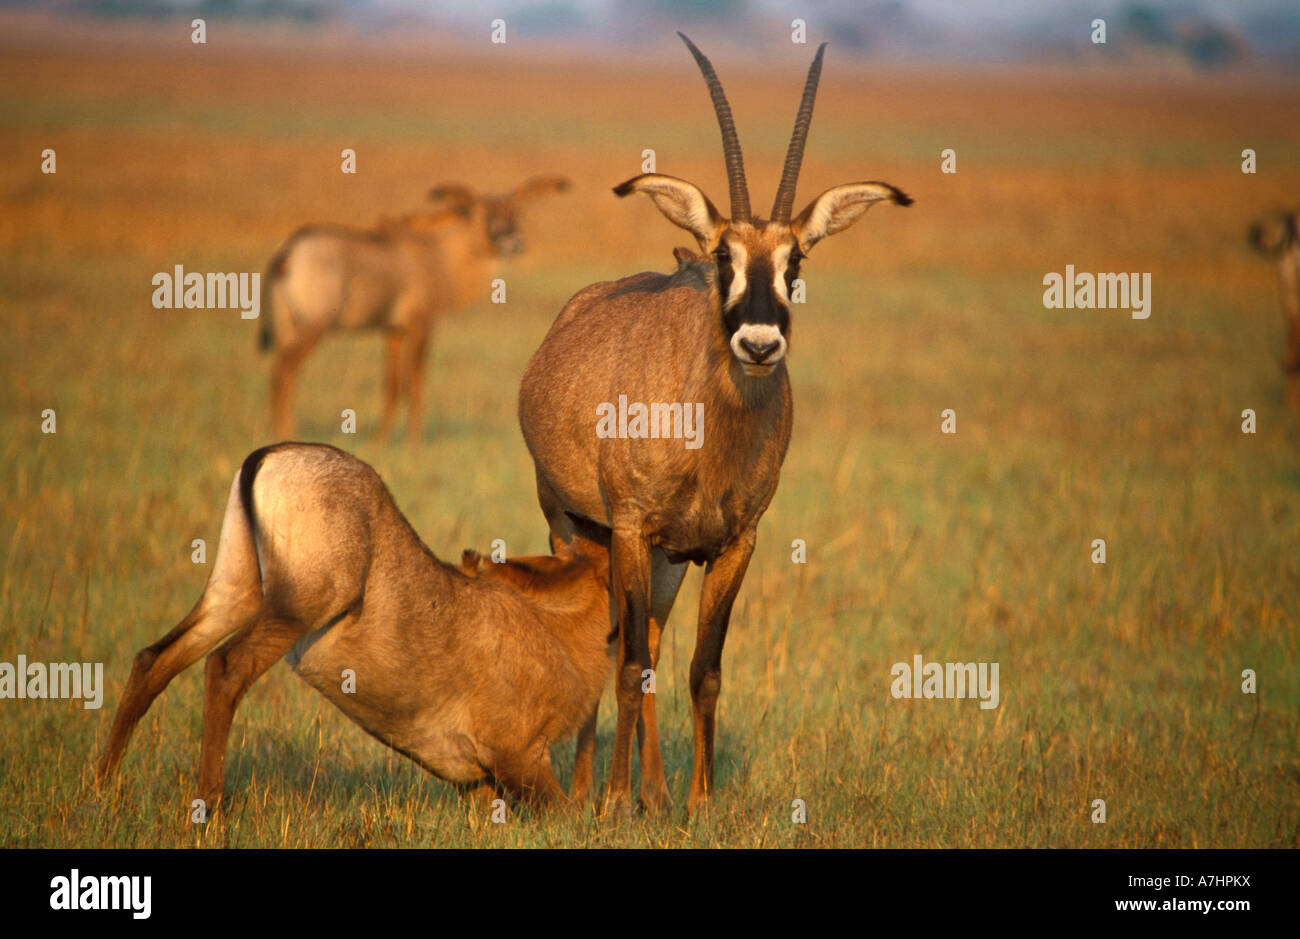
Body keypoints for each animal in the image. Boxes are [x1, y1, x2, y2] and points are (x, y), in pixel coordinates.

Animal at [93, 443, 615, 811]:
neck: (556, 630)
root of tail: (270, 457)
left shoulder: (478, 780)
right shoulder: (520, 758)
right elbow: (566, 813)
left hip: (233, 593)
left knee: (154, 658)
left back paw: (102, 790)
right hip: (301, 606)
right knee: (225, 666)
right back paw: (211, 812)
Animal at [261, 176, 570, 441]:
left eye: (516, 212)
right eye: (482, 213)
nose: (513, 242)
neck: (437, 252)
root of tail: (290, 251)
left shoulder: (394, 330)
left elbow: (393, 385)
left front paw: (381, 440)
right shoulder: (422, 324)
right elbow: (416, 384)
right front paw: (414, 443)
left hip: (289, 325)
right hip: (314, 326)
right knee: (284, 370)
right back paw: (287, 432)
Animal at [517, 34, 911, 814]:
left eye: (797, 259)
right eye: (724, 255)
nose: (759, 343)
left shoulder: (733, 543)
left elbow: (703, 667)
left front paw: (696, 801)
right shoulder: (632, 525)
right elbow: (629, 660)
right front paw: (613, 803)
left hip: (665, 561)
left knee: (650, 643)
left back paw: (656, 793)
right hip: (575, 528)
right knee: (611, 644)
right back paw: (587, 790)